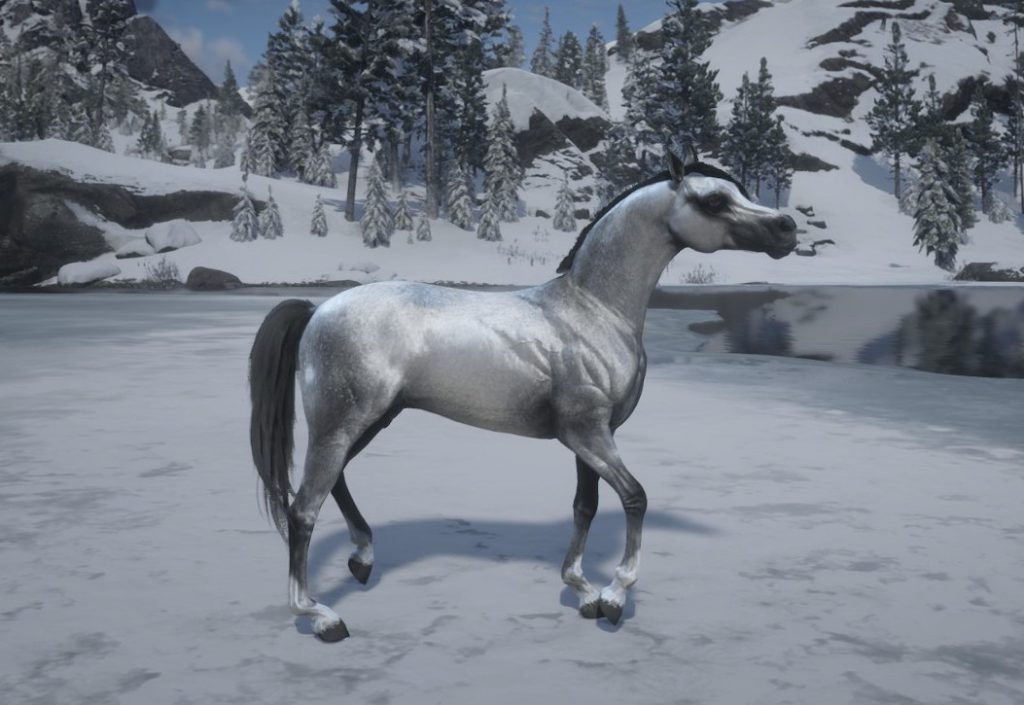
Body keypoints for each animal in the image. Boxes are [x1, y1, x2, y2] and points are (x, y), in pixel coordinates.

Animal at [248, 149, 797, 642]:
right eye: (713, 201)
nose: (787, 229)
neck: (592, 310)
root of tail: (317, 310)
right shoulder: (588, 433)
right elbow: (635, 498)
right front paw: (615, 596)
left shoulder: (590, 437)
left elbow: (585, 506)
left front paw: (583, 592)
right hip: (340, 424)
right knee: (303, 510)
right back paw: (320, 617)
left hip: (368, 420)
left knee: (334, 485)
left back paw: (362, 559)